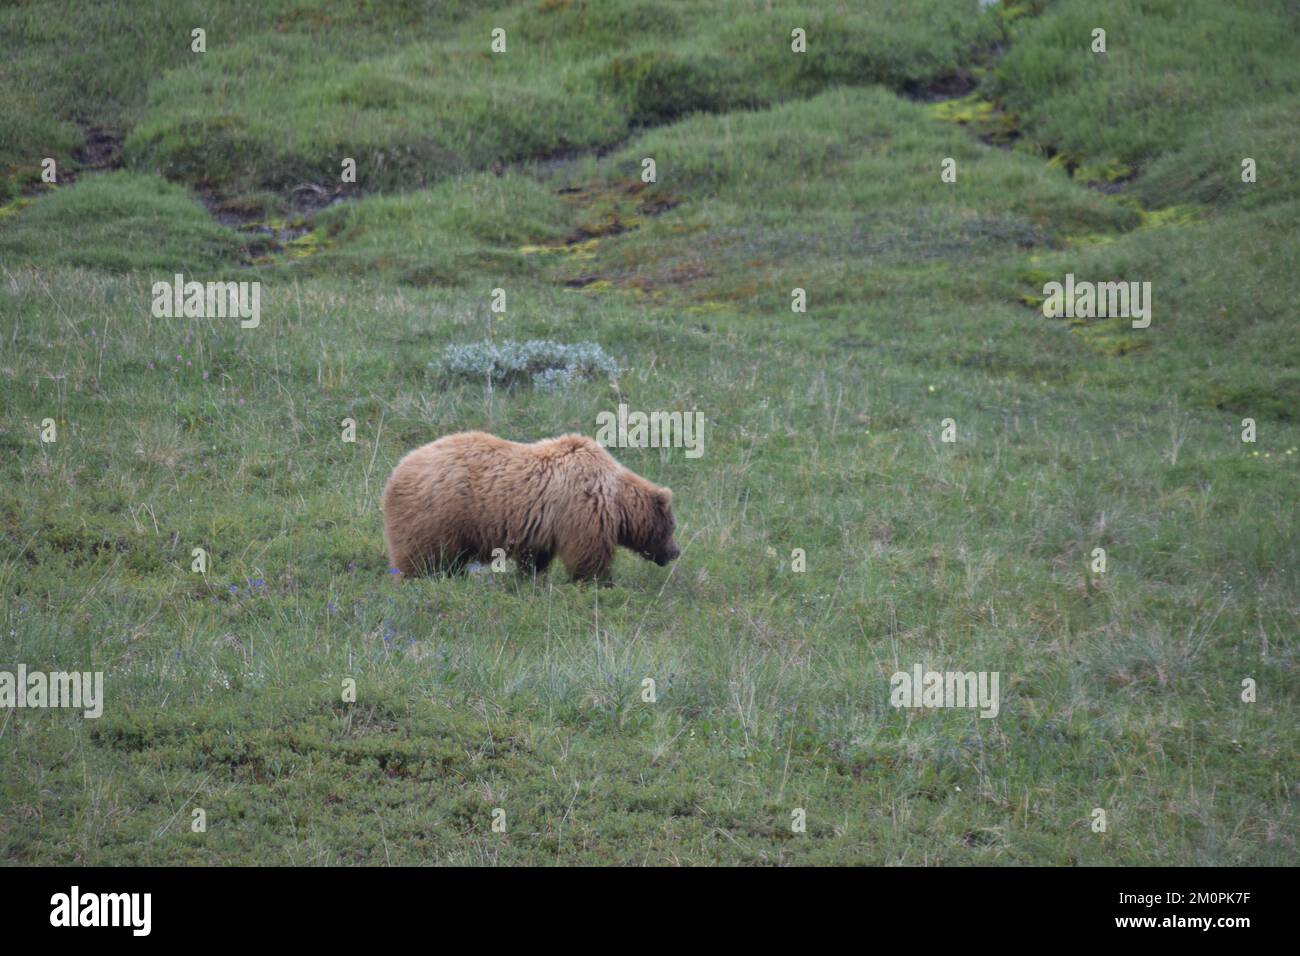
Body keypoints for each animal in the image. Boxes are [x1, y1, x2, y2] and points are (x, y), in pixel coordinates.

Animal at [382, 431, 680, 583]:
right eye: (672, 527)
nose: (676, 552)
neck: (616, 500)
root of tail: (396, 472)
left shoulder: (542, 524)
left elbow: (536, 557)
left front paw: (530, 578)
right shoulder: (584, 508)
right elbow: (589, 555)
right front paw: (598, 582)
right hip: (437, 515)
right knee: (423, 556)